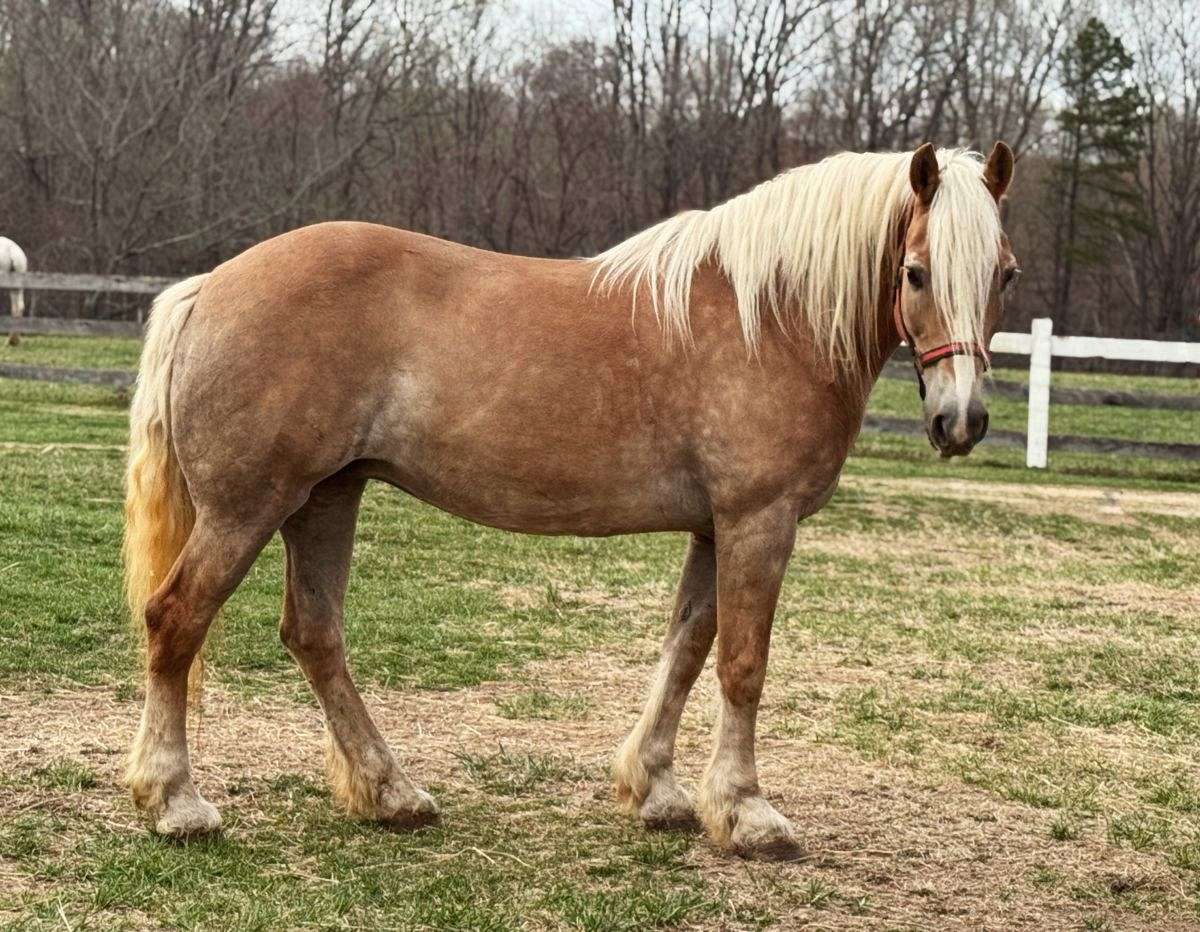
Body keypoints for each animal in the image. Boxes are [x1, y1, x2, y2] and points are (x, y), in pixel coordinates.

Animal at [123, 143, 1018, 859]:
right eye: (916, 273)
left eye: (1004, 273)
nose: (961, 420)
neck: (771, 316)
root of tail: (211, 285)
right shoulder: (758, 521)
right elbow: (742, 663)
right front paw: (747, 813)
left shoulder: (713, 528)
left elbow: (687, 647)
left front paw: (656, 789)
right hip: (248, 508)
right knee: (177, 619)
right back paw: (177, 803)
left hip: (325, 499)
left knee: (313, 634)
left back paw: (391, 792)